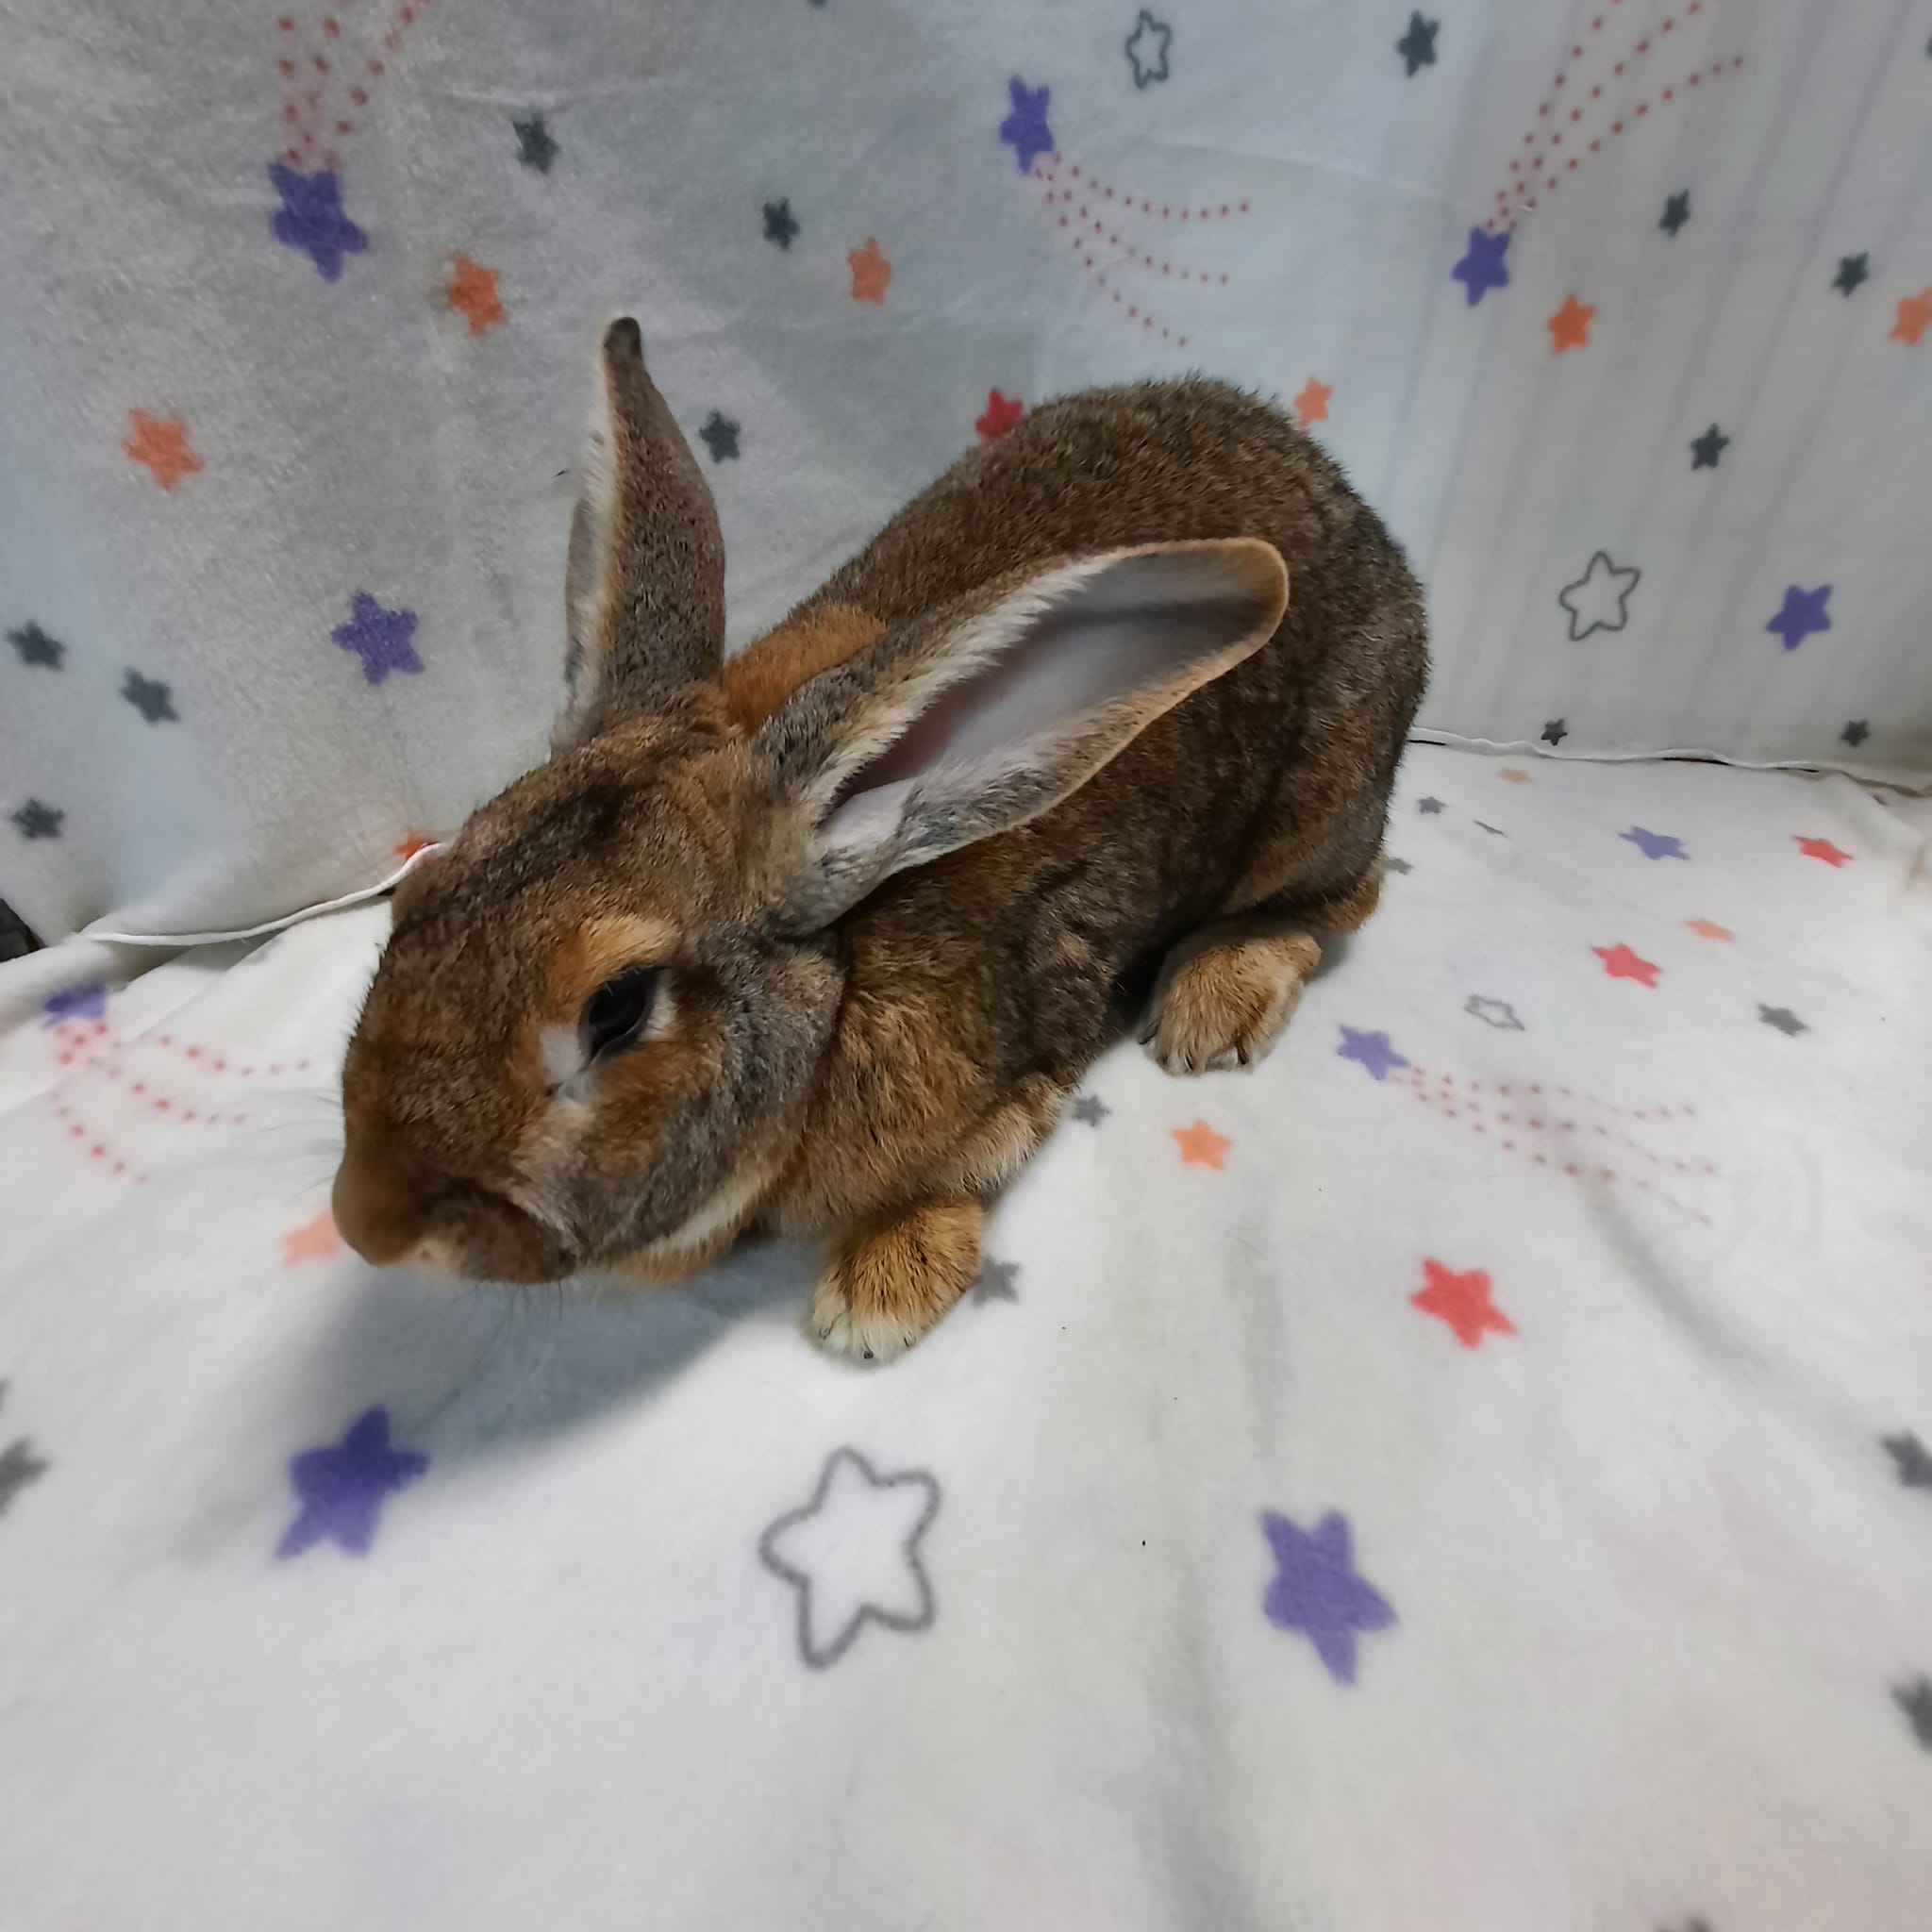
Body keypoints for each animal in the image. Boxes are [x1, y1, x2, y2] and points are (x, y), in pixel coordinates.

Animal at [332, 318, 1426, 1360]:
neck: (838, 979)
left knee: (1339, 898)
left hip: (1317, 806)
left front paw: (879, 1293)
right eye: (416, 895)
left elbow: (959, 1173)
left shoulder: (1028, 1055)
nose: (364, 1224)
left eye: (614, 1008)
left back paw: (1213, 1002)